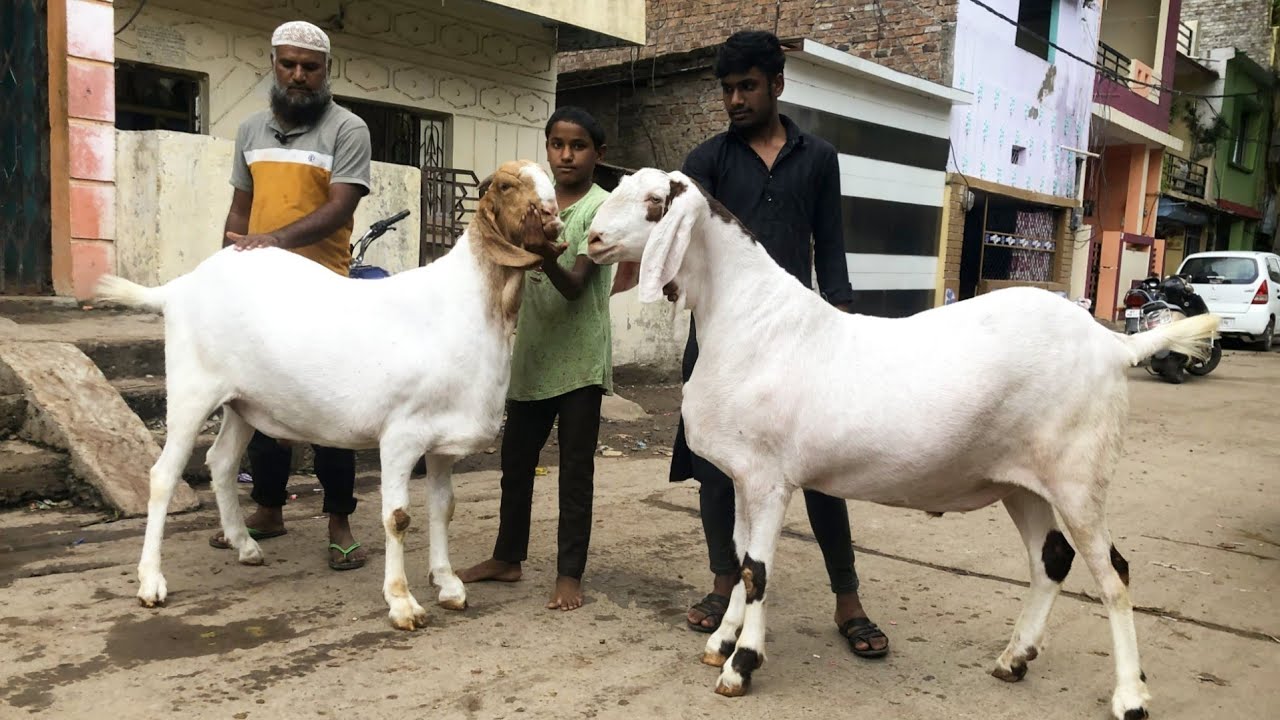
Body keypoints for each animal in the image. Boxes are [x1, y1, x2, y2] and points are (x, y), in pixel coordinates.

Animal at [95, 160, 564, 631]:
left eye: (550, 181)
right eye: (505, 186)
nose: (553, 218)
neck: (469, 306)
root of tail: (178, 287)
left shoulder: (442, 442)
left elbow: (443, 508)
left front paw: (448, 585)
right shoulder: (401, 435)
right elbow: (398, 518)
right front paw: (402, 603)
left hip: (243, 403)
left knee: (221, 461)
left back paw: (245, 546)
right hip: (191, 390)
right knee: (163, 475)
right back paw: (151, 582)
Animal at [585, 168, 1220, 720]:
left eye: (654, 203)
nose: (590, 238)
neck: (753, 322)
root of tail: (1114, 347)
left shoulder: (769, 480)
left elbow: (757, 570)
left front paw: (741, 667)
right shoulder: (745, 476)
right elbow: (741, 561)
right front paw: (720, 642)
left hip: (1079, 478)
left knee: (1114, 575)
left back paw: (1130, 697)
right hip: (1023, 484)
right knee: (1052, 560)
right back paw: (1014, 658)